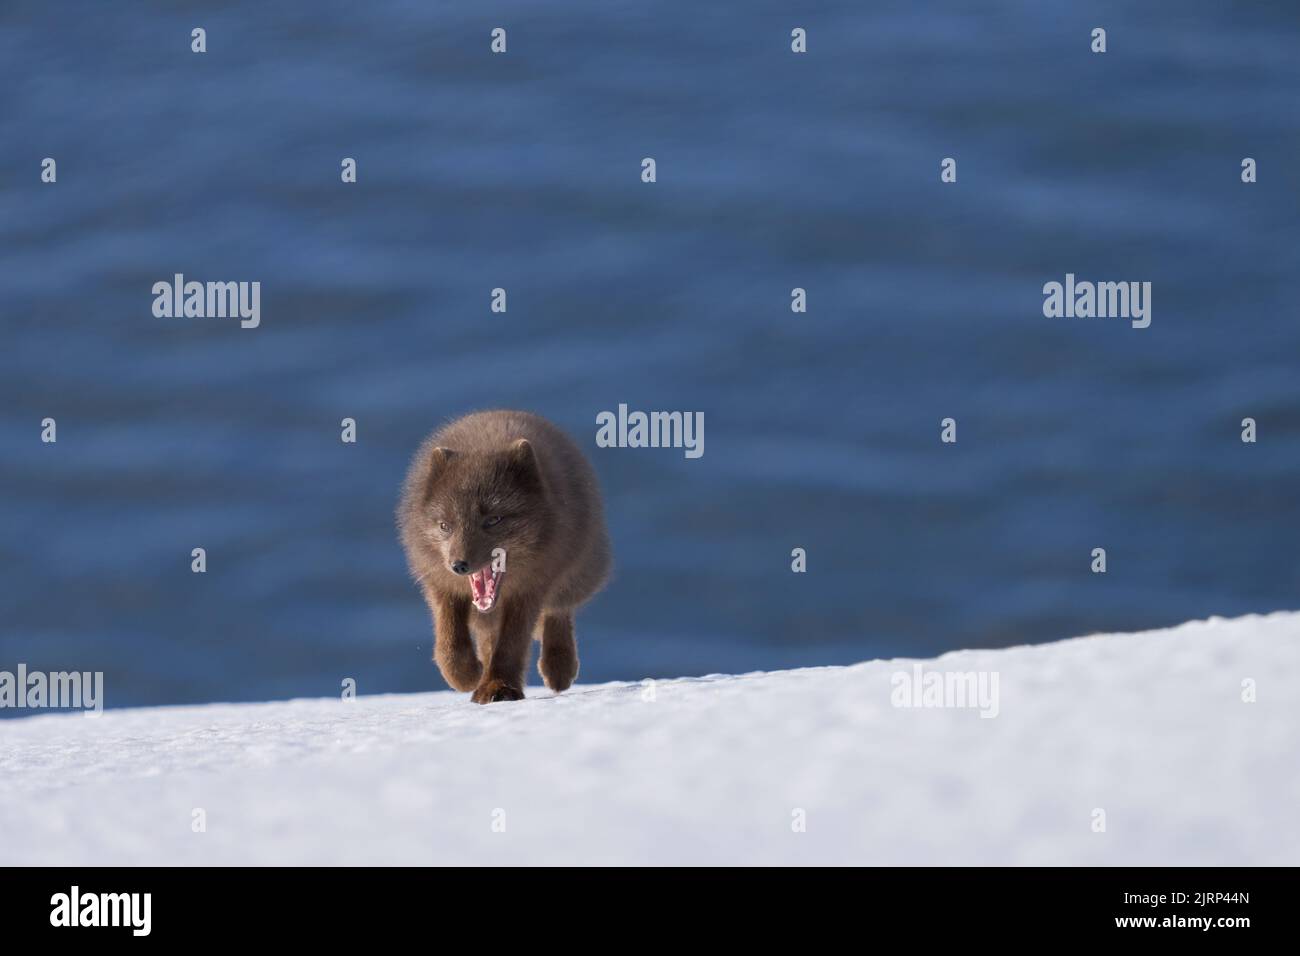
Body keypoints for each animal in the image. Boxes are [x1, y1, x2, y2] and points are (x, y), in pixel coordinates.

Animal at [397, 410, 612, 704]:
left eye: (493, 520)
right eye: (445, 526)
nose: (459, 565)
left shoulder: (530, 588)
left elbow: (511, 643)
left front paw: (499, 687)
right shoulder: (439, 583)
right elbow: (448, 640)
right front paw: (466, 676)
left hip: (579, 574)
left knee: (558, 610)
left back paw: (559, 669)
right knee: (489, 638)